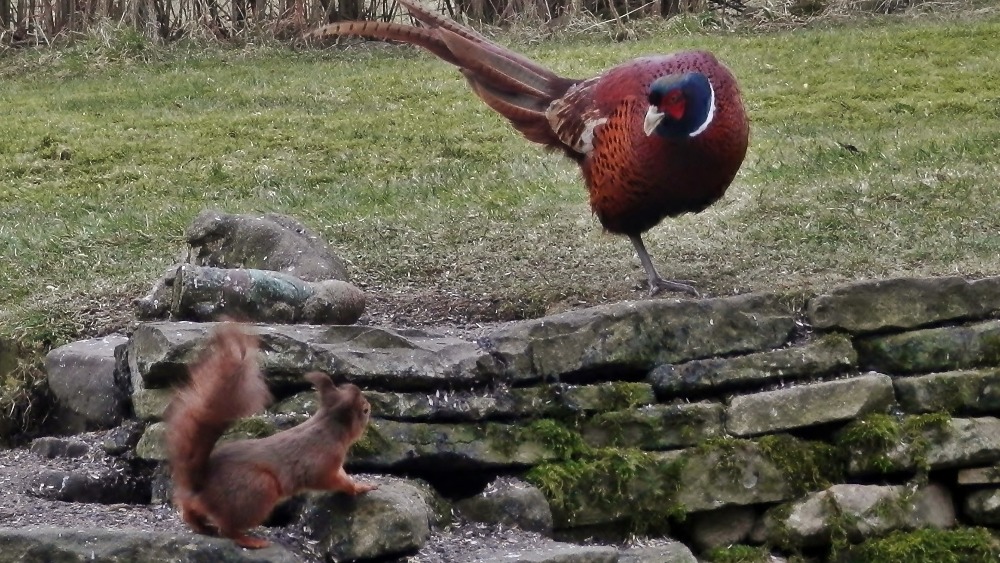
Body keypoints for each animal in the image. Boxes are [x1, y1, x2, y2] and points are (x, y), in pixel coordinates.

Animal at [166, 322, 377, 549]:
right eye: (364, 410)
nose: (370, 406)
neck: (328, 427)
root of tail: (200, 488)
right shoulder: (323, 463)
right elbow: (332, 479)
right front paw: (355, 487)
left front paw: (360, 484)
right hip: (258, 490)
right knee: (228, 529)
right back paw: (251, 540)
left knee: (190, 512)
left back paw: (201, 526)